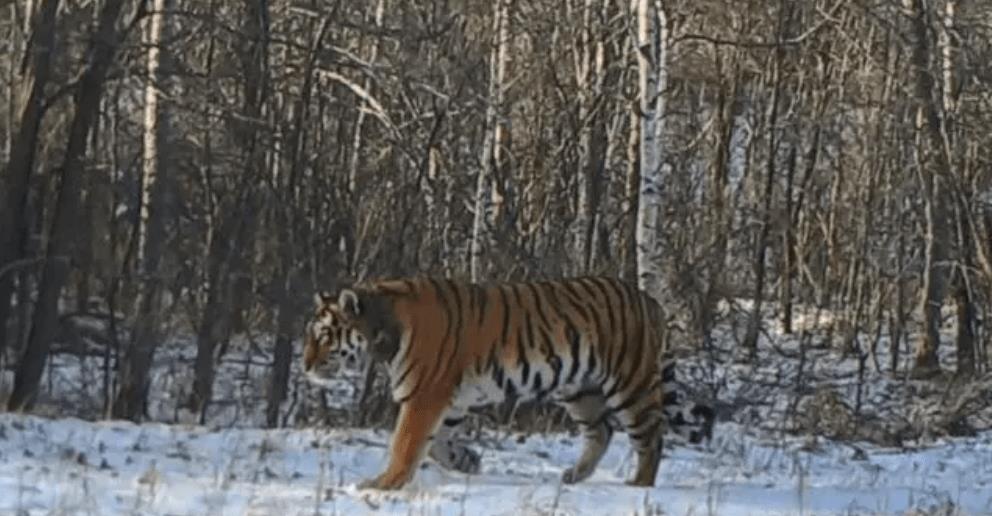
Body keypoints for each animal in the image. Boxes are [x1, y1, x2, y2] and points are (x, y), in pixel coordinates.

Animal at [302, 276, 714, 490]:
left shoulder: (425, 395)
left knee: (651, 437)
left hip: (630, 383)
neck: (383, 327)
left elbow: (404, 443)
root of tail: (651, 301)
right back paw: (574, 476)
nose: (305, 365)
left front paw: (382, 485)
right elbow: (437, 446)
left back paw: (638, 486)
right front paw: (469, 461)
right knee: (602, 431)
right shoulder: (449, 400)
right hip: (579, 387)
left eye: (323, 335)